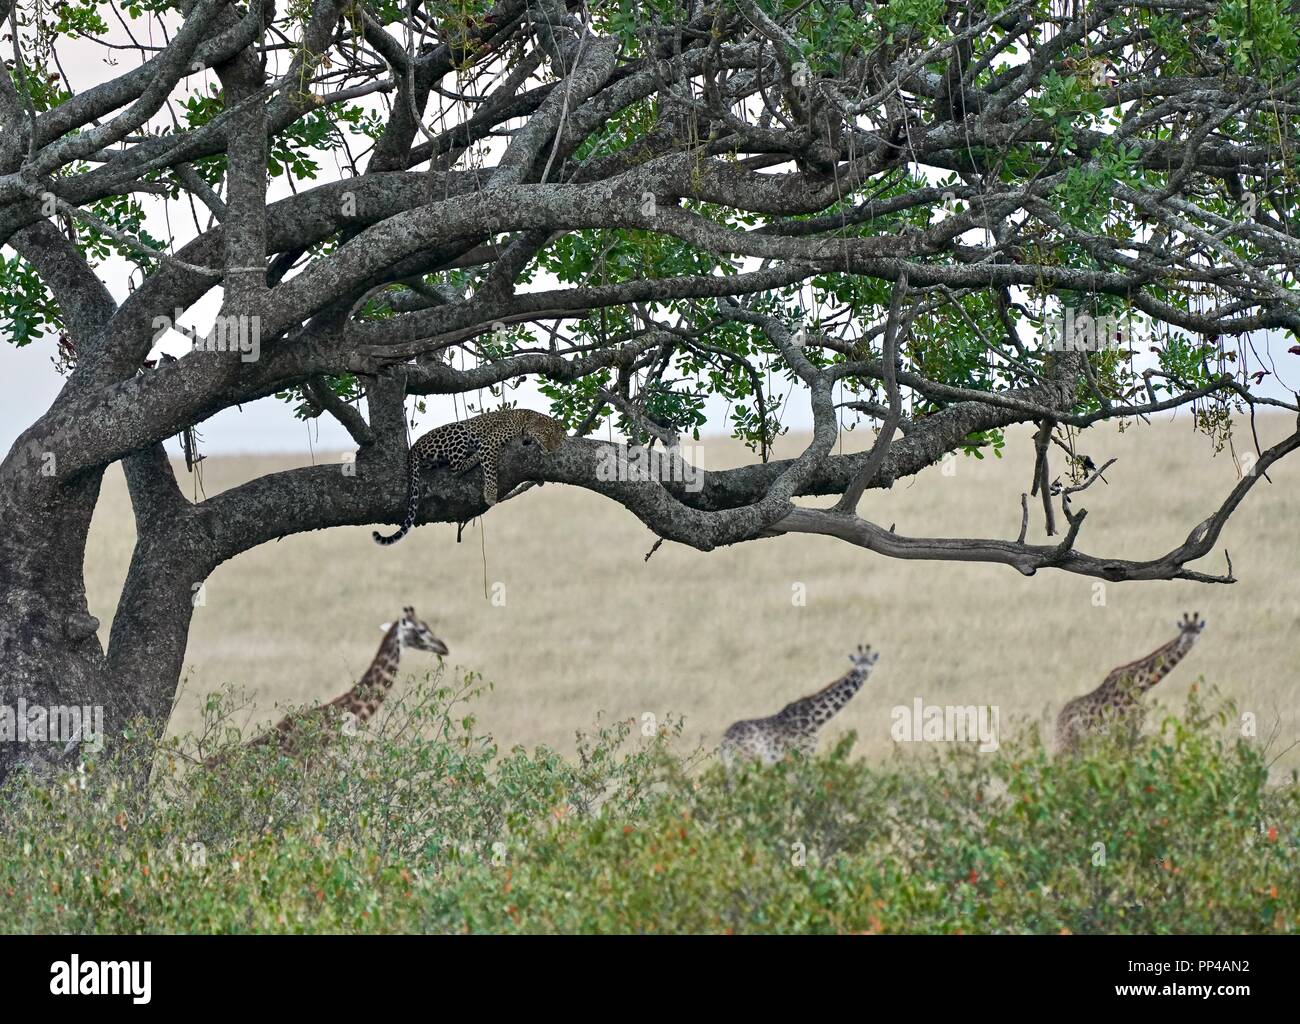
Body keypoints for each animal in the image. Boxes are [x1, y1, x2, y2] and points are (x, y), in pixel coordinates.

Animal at [721, 645, 880, 765]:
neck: (815, 717)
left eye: (870, 663)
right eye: (857, 664)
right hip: (745, 760)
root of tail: (726, 742)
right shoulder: (803, 754)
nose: (863, 672)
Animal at [1056, 612, 1206, 753]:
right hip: (1073, 745)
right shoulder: (1126, 728)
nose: (1188, 641)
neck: (1140, 684)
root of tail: (1059, 722)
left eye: (1197, 631)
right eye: (1183, 631)